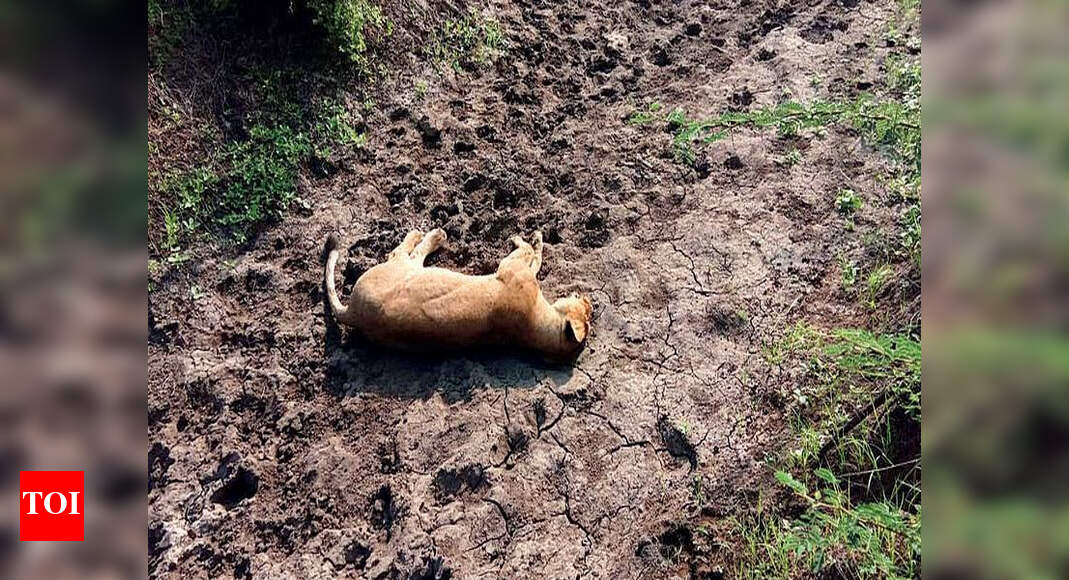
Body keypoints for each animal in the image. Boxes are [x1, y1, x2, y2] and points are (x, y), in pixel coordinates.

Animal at [324, 228, 592, 359]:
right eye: (585, 309)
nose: (589, 300)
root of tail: (353, 313)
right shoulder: (514, 268)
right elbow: (535, 256)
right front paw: (534, 237)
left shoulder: (510, 267)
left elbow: (529, 252)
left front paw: (526, 237)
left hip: (404, 269)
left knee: (403, 251)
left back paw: (432, 234)